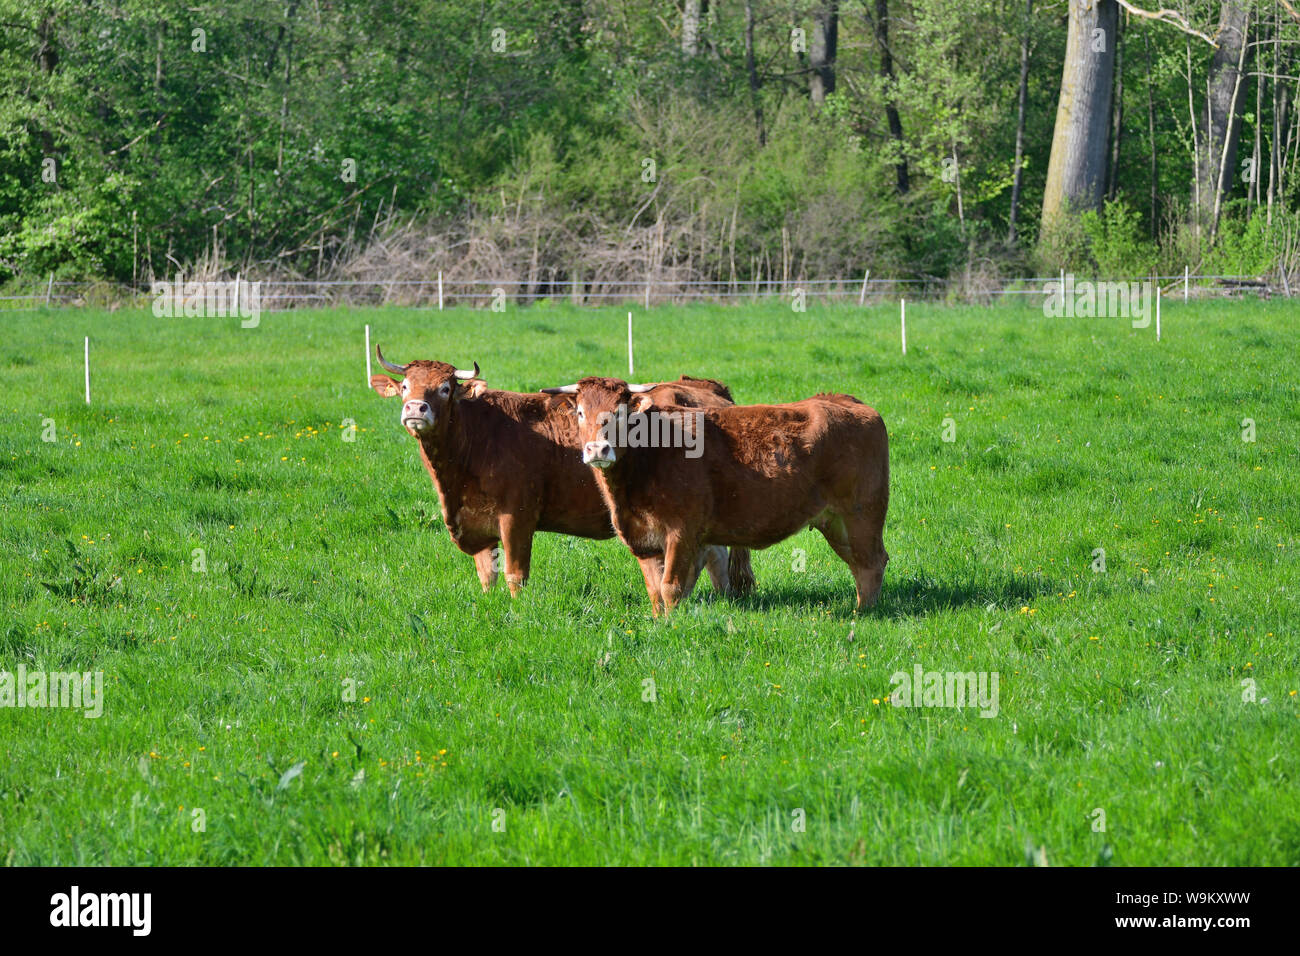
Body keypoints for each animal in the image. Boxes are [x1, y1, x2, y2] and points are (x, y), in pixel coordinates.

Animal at [369, 349, 754, 598]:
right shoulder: (476, 520)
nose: (415, 408)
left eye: (445, 387)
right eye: (405, 386)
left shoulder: (517, 516)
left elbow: (515, 574)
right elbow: (486, 575)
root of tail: (705, 387)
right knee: (716, 555)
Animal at [541, 376, 888, 615]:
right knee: (860, 564)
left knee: (871, 563)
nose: (597, 449)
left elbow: (671, 587)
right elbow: (655, 591)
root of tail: (847, 401)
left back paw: (864, 613)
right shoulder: (644, 539)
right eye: (581, 412)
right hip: (836, 522)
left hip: (861, 514)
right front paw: (659, 622)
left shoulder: (682, 532)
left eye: (620, 412)